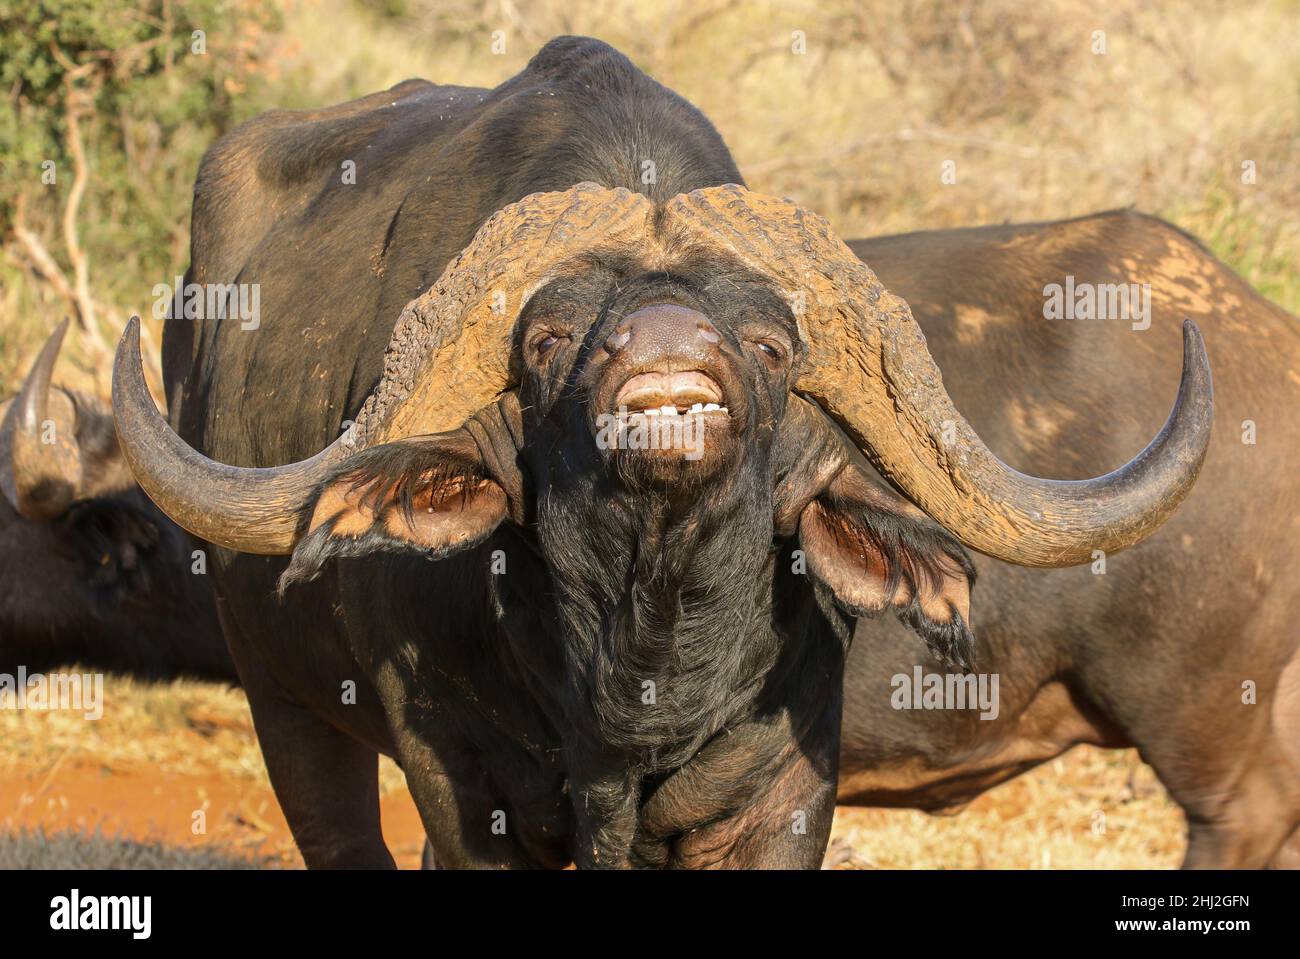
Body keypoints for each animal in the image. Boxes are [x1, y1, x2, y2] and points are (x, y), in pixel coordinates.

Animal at [110, 37, 1211, 868]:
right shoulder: (456, 785)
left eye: (769, 342)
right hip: (283, 705)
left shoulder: (784, 798)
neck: (640, 658)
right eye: (548, 337)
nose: (666, 342)